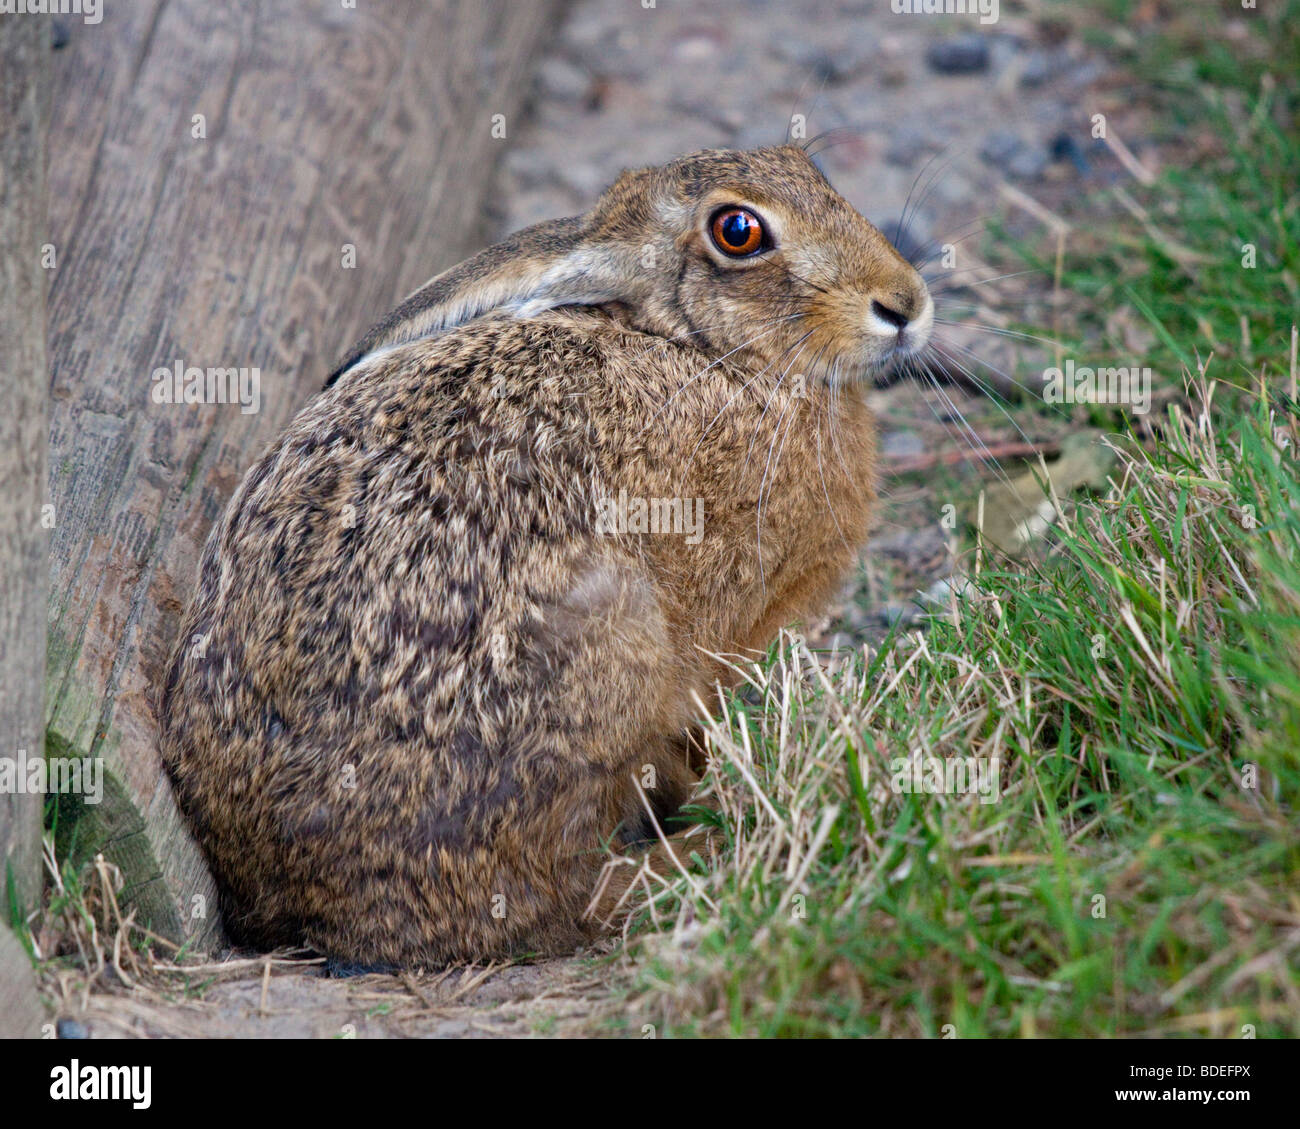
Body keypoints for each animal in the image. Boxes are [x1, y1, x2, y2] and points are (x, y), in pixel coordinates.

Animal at [158, 144, 933, 968]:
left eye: (805, 163)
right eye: (739, 231)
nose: (905, 304)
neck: (702, 351)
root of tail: (305, 906)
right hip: (610, 653)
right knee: (564, 896)